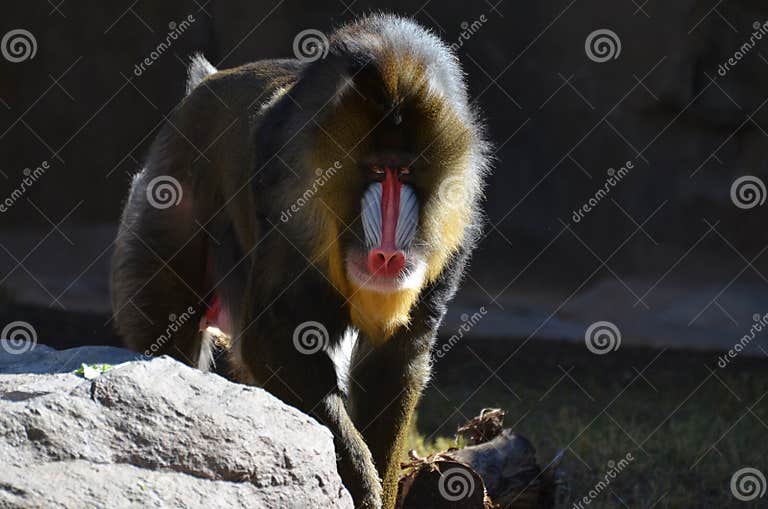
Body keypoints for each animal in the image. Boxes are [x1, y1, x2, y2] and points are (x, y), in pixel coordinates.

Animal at [110, 14, 490, 509]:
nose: (387, 253)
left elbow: (393, 362)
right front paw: (360, 481)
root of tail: (203, 84)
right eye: (375, 171)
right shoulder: (291, 216)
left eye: (405, 173)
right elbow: (272, 338)